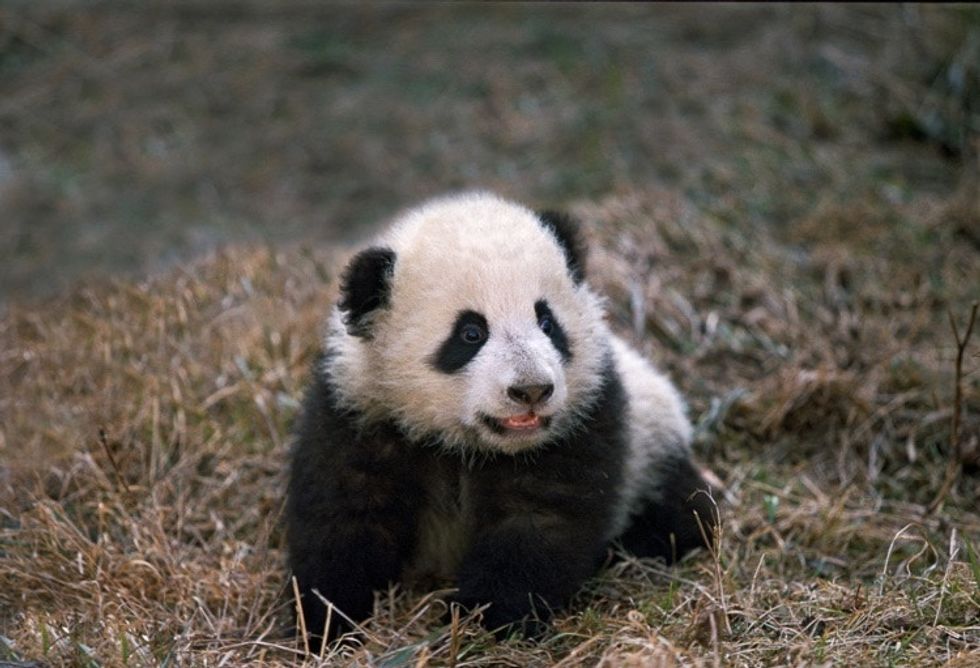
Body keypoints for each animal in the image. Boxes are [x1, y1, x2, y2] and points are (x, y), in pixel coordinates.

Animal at [286, 191, 716, 647]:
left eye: (547, 322)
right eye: (471, 333)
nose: (532, 390)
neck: (464, 445)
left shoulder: (585, 419)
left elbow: (535, 527)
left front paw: (485, 621)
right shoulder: (359, 411)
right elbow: (344, 517)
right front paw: (323, 623)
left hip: (653, 443)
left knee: (683, 514)